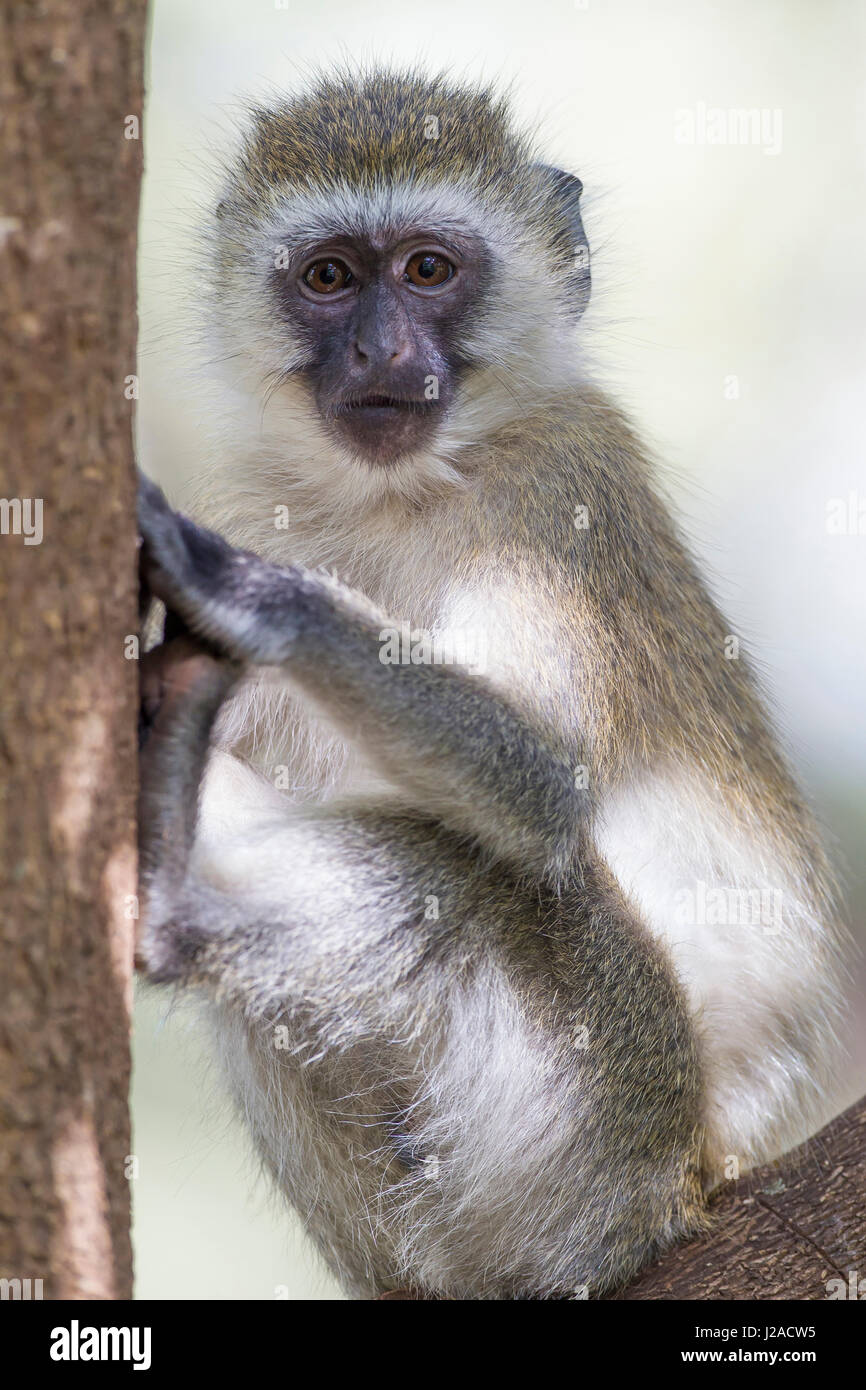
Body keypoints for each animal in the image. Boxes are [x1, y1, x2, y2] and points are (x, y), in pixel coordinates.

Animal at [136, 67, 850, 1300]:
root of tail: (703, 1173)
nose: (379, 355)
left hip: (616, 1114)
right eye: (329, 278)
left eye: (429, 269)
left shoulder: (561, 485)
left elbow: (541, 790)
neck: (405, 494)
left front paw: (256, 597)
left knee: (467, 875)